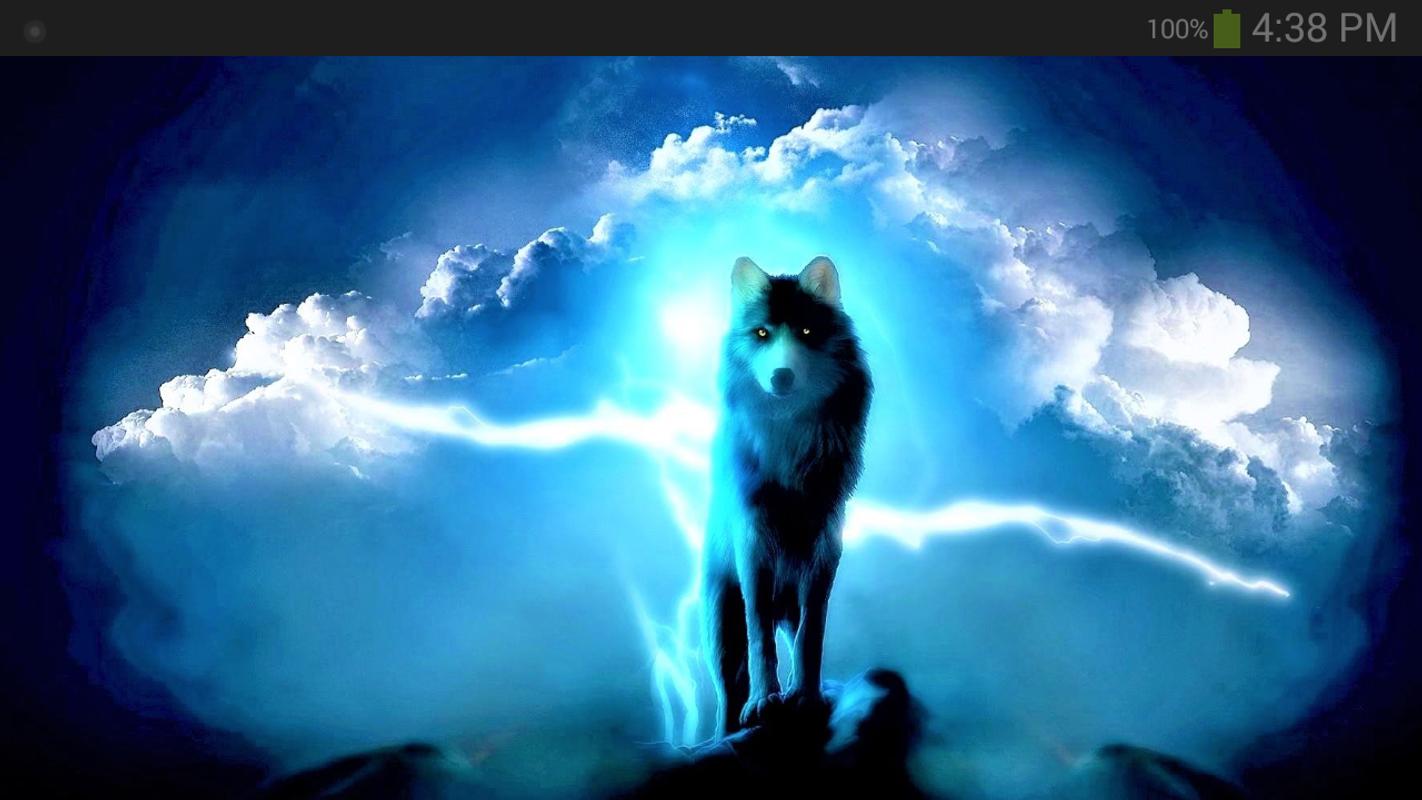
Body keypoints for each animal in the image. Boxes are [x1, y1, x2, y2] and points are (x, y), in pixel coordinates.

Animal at [701, 255, 872, 737]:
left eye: (807, 332)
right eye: (762, 334)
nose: (781, 376)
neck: (790, 437)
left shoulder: (825, 543)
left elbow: (810, 636)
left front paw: (807, 698)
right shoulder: (753, 541)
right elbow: (761, 637)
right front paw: (764, 702)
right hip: (720, 629)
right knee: (727, 692)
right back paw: (727, 730)